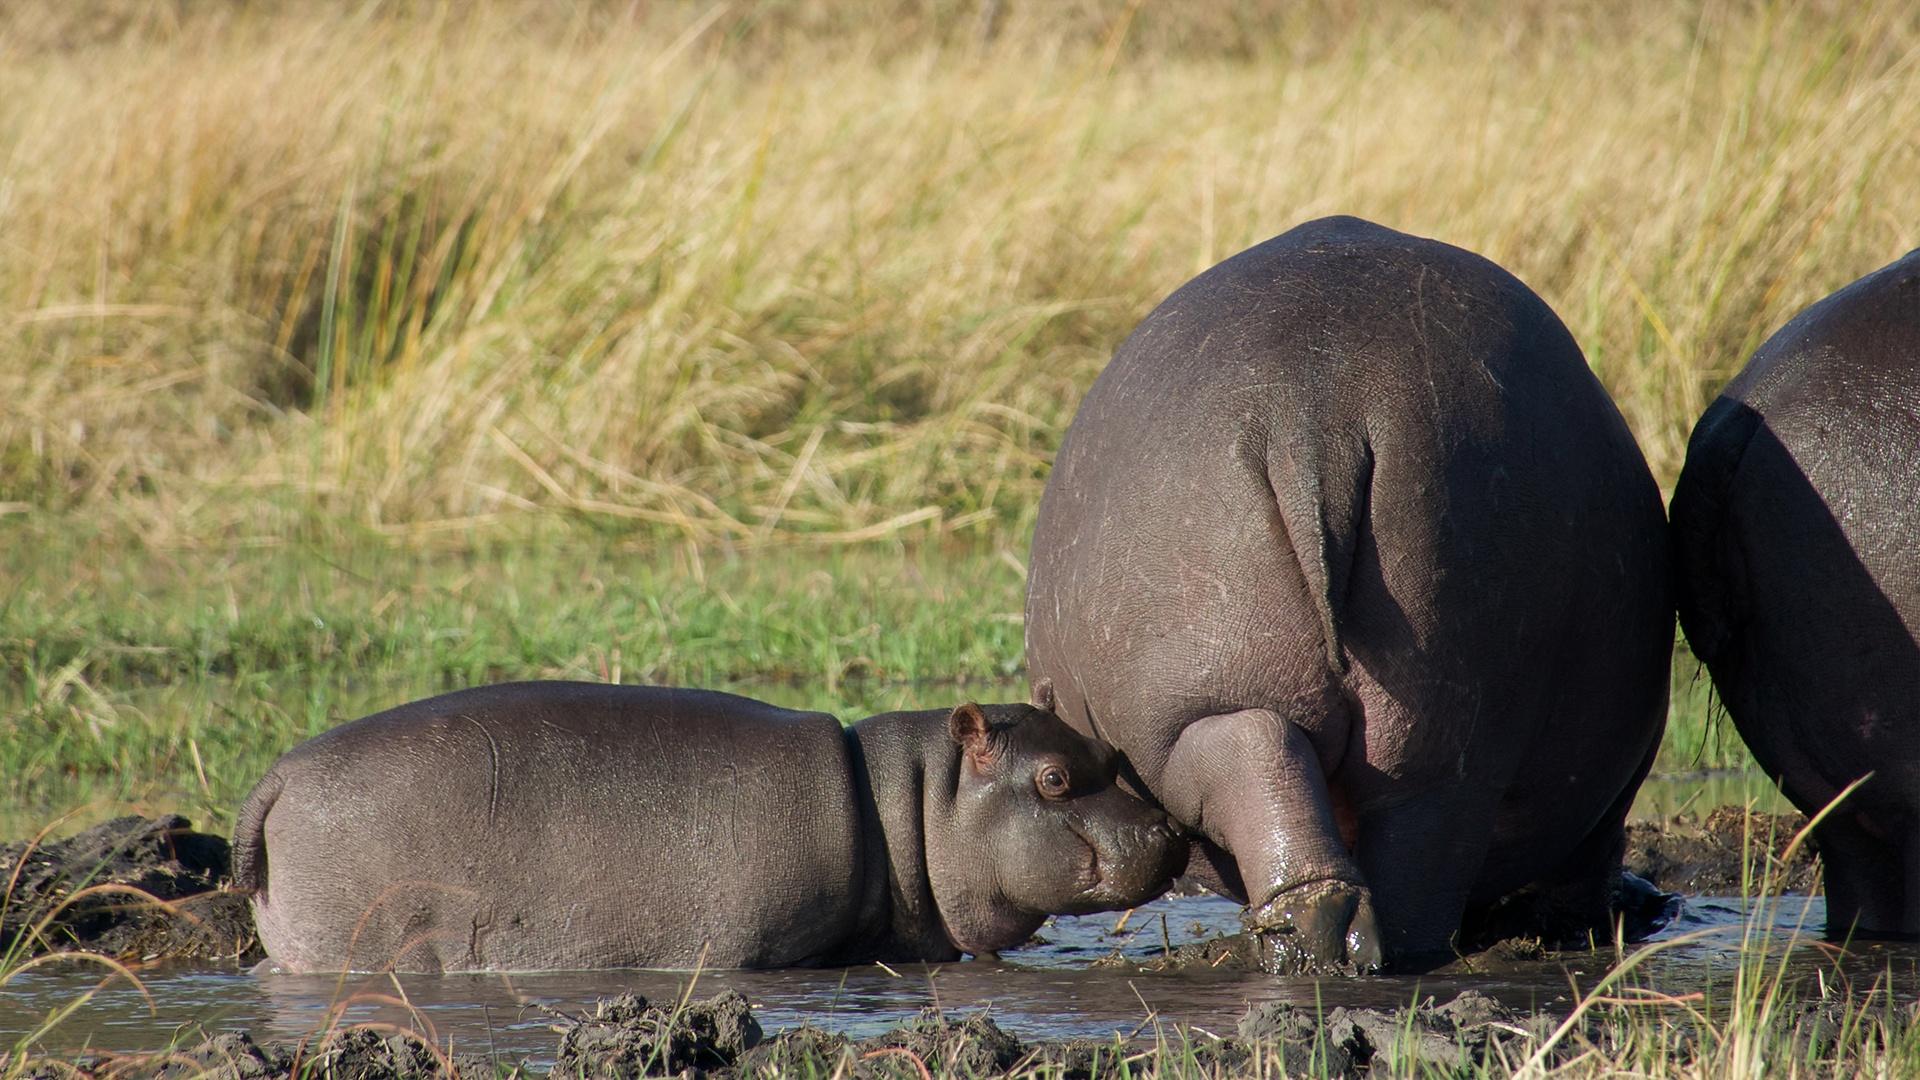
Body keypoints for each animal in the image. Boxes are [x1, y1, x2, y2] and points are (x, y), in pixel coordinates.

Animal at [1024, 216, 1674, 973]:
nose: (1654, 897)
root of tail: (1315, 414)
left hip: (1225, 688)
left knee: (1270, 765)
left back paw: (1317, 943)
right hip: (1436, 696)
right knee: (1391, 837)